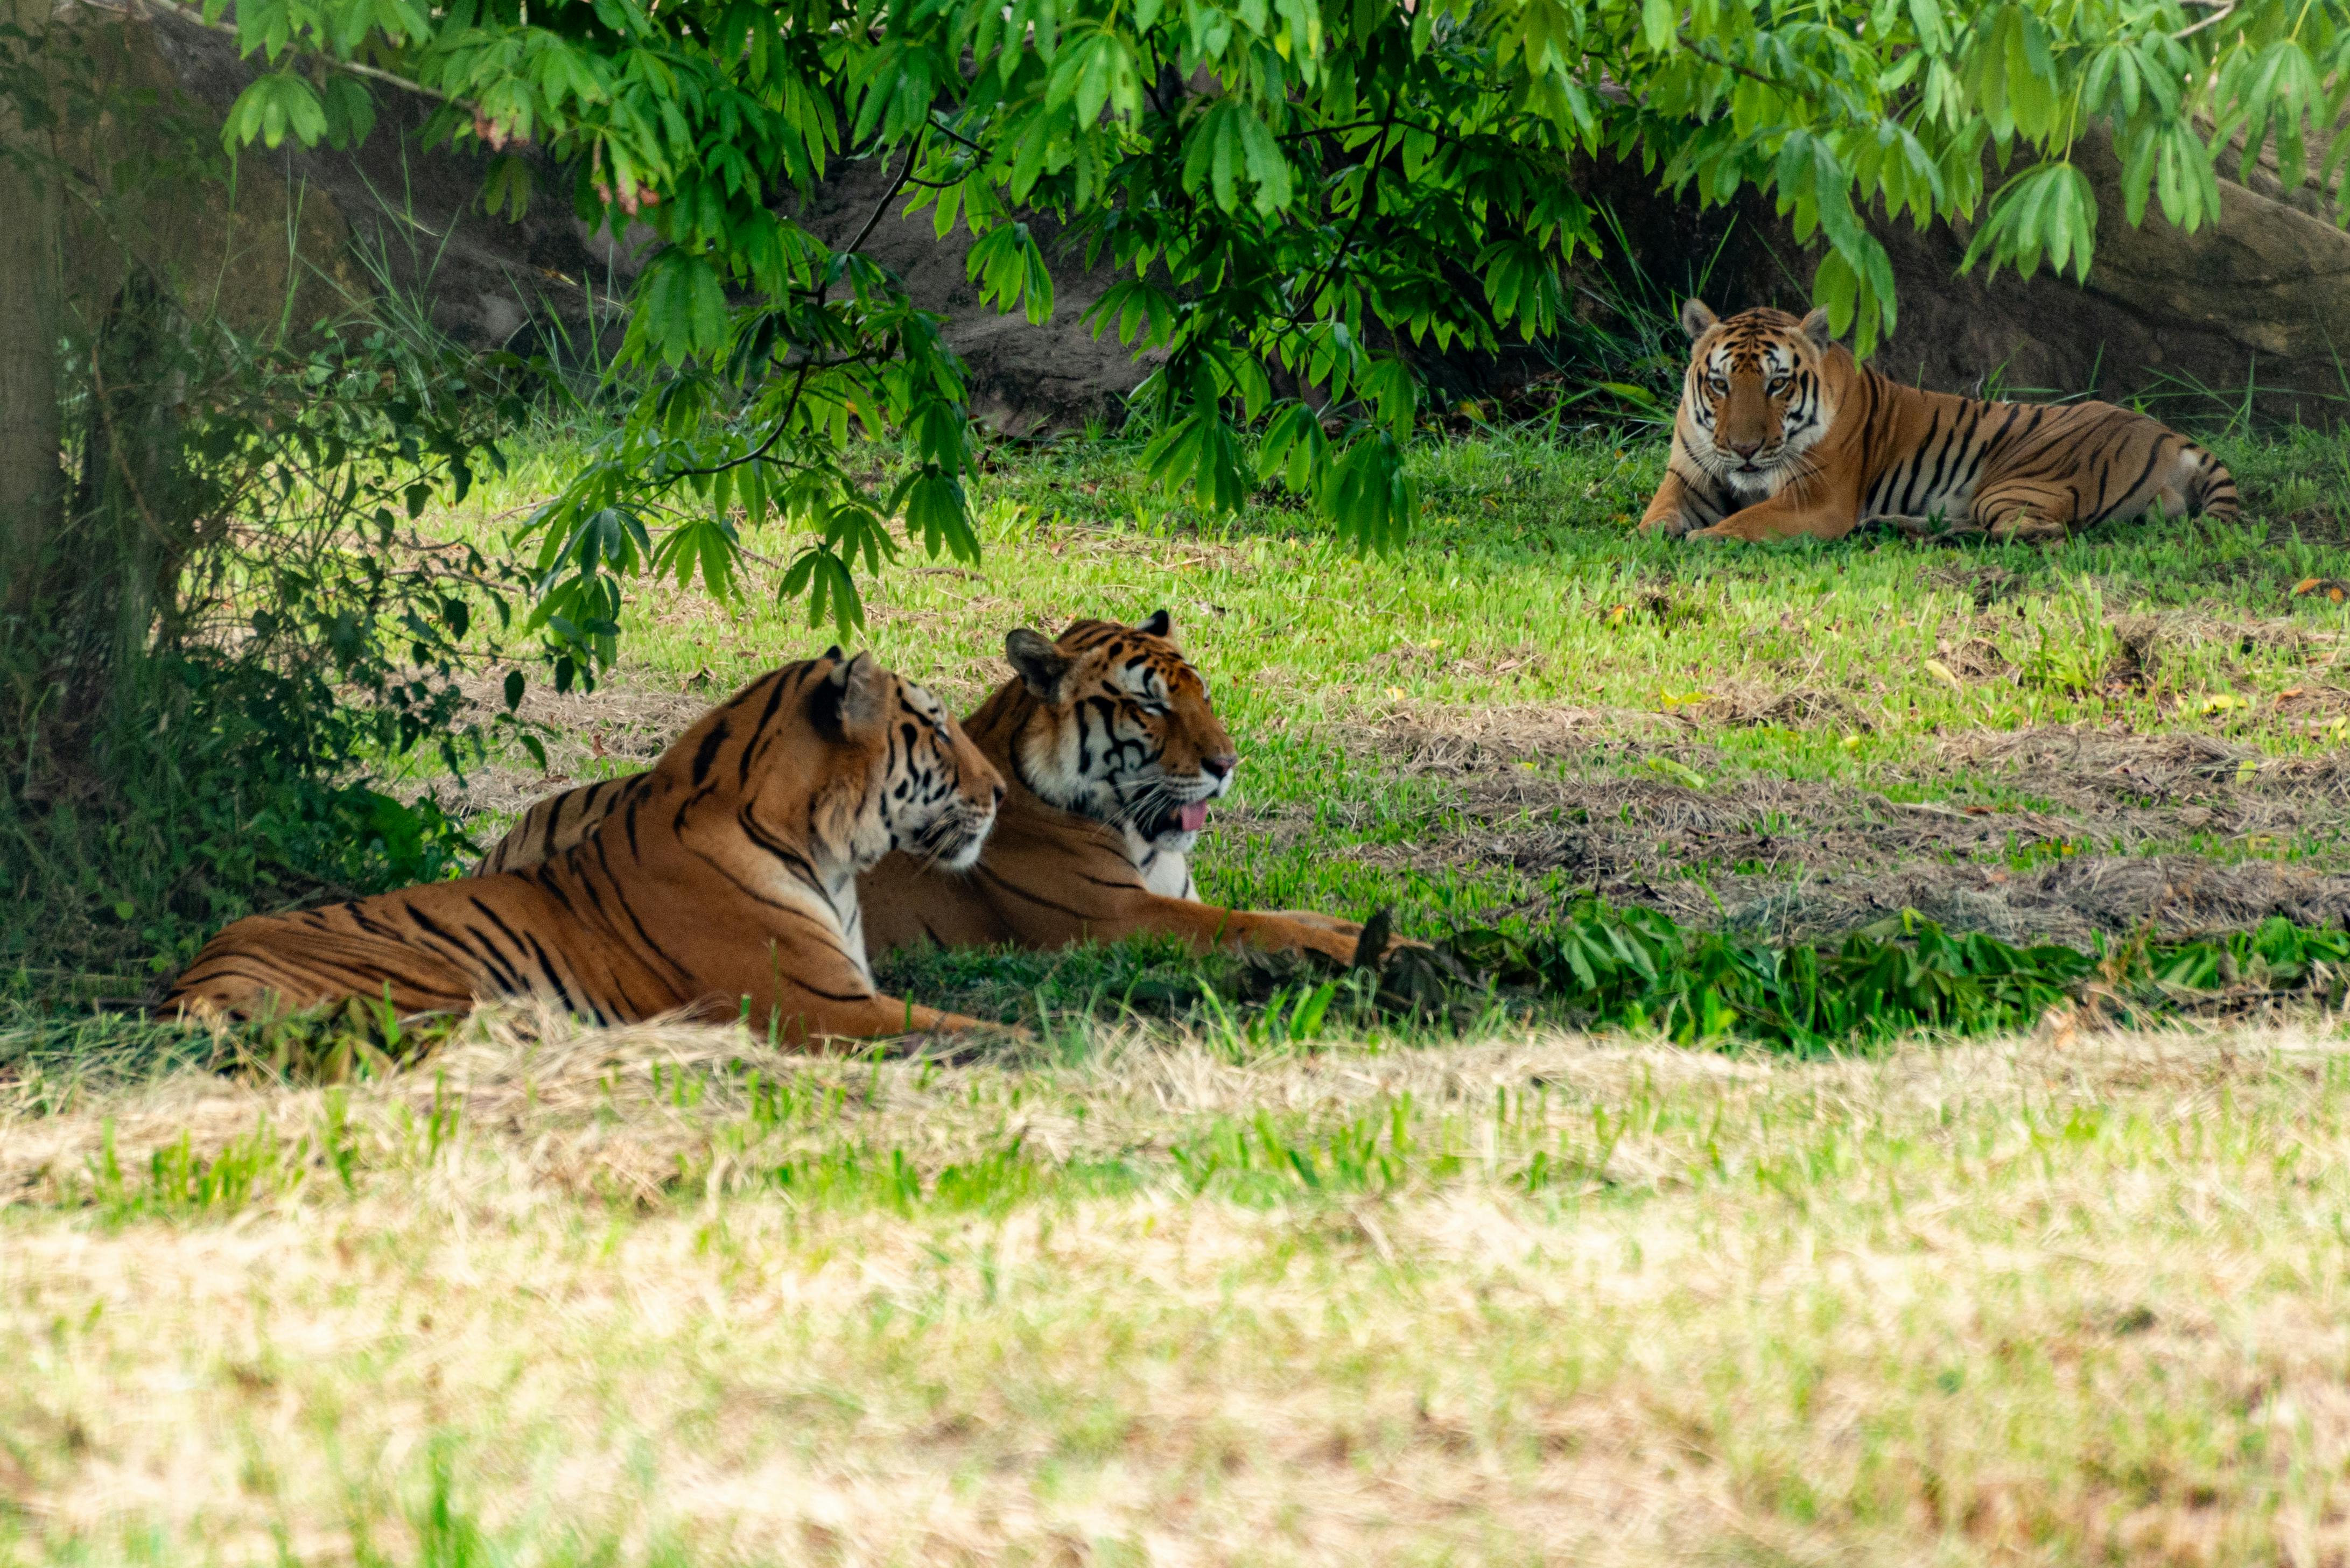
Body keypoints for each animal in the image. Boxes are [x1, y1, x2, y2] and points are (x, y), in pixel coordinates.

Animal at [165, 650, 1013, 1044]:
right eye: (938, 730)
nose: (1003, 790)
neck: (830, 856)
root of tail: (188, 986)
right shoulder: (824, 1006)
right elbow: (986, 1028)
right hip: (439, 983)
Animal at [477, 612, 1393, 969]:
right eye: (1149, 705)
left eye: (1200, 693)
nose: (1227, 762)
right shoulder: (1118, 920)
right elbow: (1263, 925)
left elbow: (1305, 914)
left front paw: (1378, 934)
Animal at [1639, 300, 2238, 545]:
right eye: (1720, 384)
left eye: (1777, 384)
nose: (1743, 449)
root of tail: (2172, 436)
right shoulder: (1687, 477)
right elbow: (1654, 519)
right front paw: (1661, 534)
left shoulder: (1815, 499)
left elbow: (1747, 521)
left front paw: (1705, 538)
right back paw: (1891, 525)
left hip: (2017, 482)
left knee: (2033, 533)